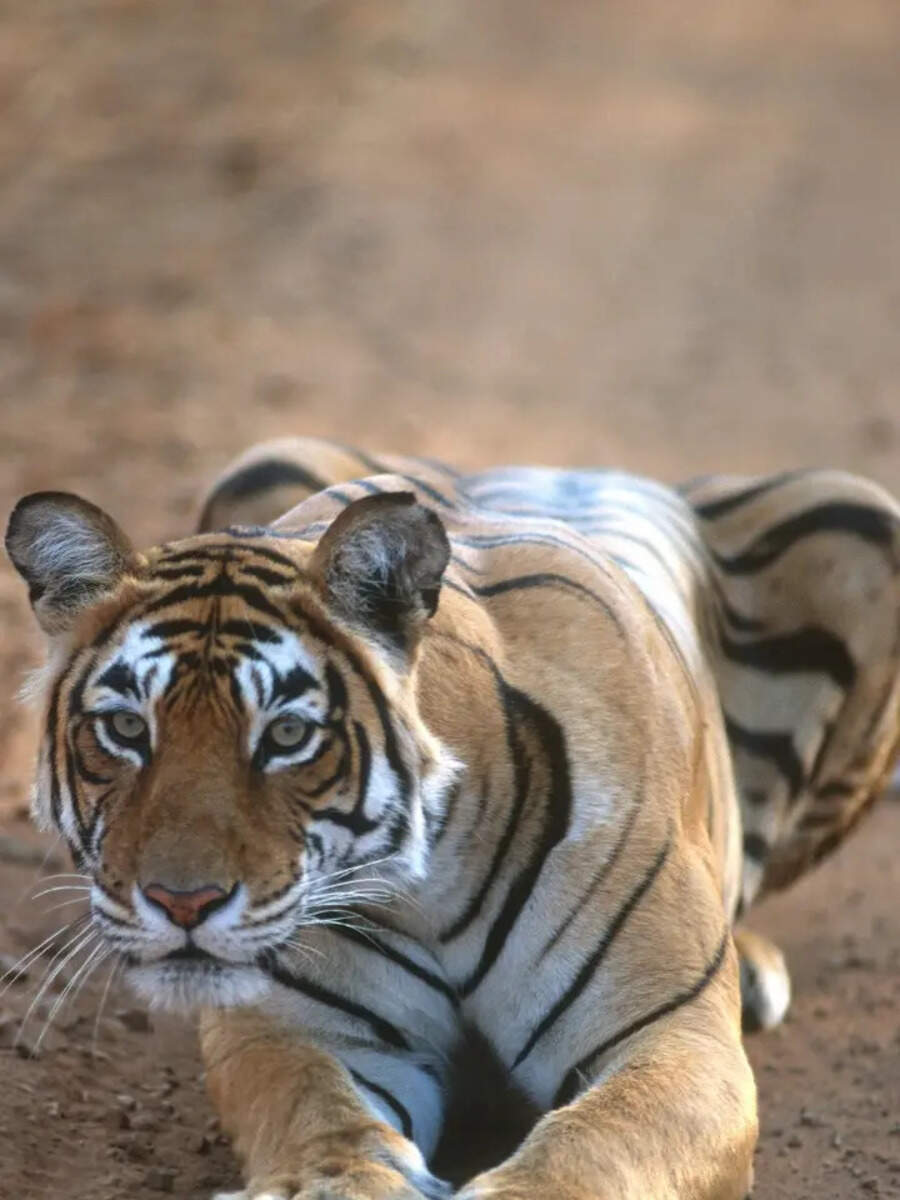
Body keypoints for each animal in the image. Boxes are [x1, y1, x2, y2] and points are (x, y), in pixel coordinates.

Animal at [6, 436, 900, 1200]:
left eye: (287, 735)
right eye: (126, 728)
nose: (180, 904)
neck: (430, 882)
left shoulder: (677, 1042)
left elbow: (585, 1152)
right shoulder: (300, 1034)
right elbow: (320, 1121)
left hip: (862, 513)